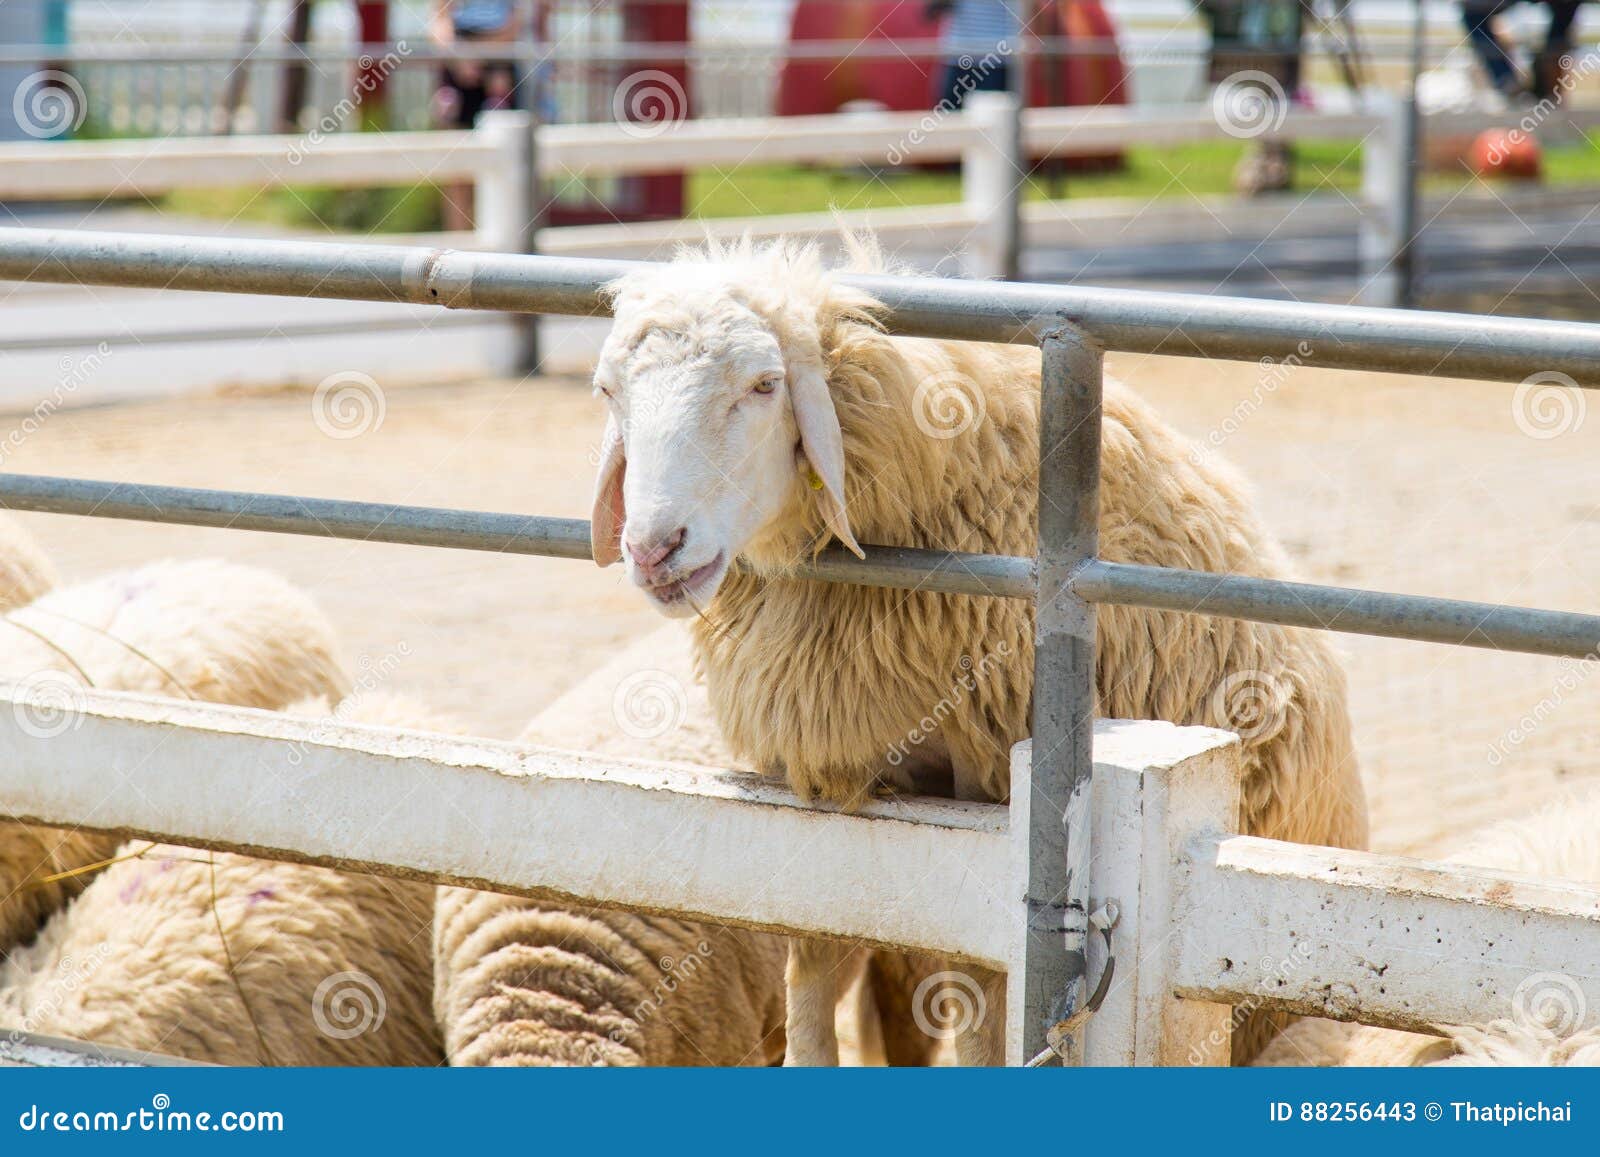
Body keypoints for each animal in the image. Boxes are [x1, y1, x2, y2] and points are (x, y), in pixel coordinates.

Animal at [587, 236, 1367, 1065]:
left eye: (764, 385)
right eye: (609, 391)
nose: (653, 548)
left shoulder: (987, 782)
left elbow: (981, 994)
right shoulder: (811, 770)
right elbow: (813, 963)